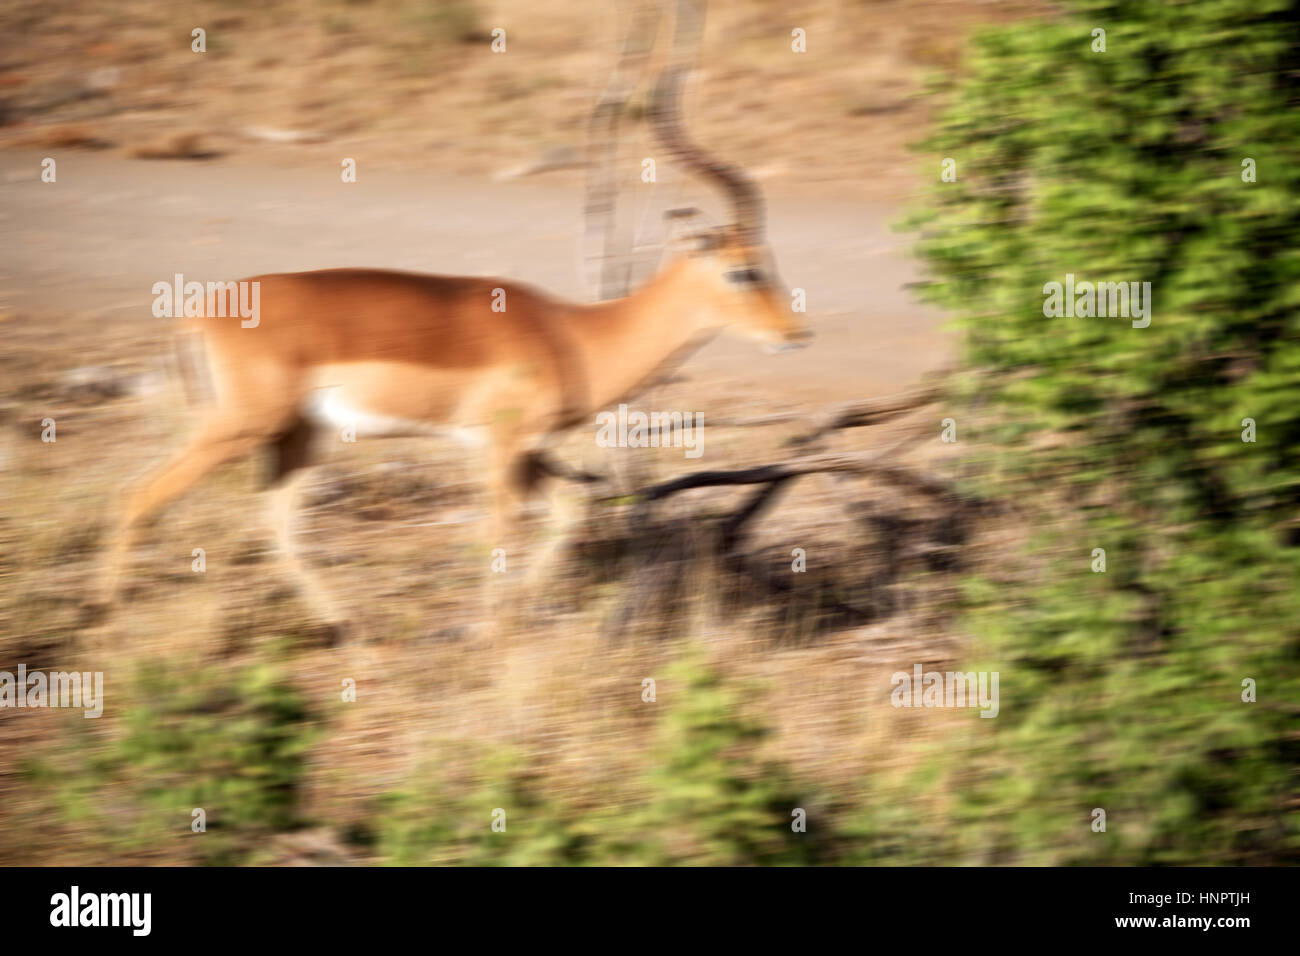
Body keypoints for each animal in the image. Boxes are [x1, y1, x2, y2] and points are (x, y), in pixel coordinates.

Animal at [93, 68, 812, 632]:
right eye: (744, 270)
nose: (795, 335)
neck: (571, 336)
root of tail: (199, 314)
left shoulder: (526, 451)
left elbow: (569, 510)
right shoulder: (501, 448)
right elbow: (501, 533)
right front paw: (494, 640)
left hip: (298, 438)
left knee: (275, 526)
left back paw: (350, 630)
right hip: (243, 427)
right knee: (140, 496)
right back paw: (108, 614)